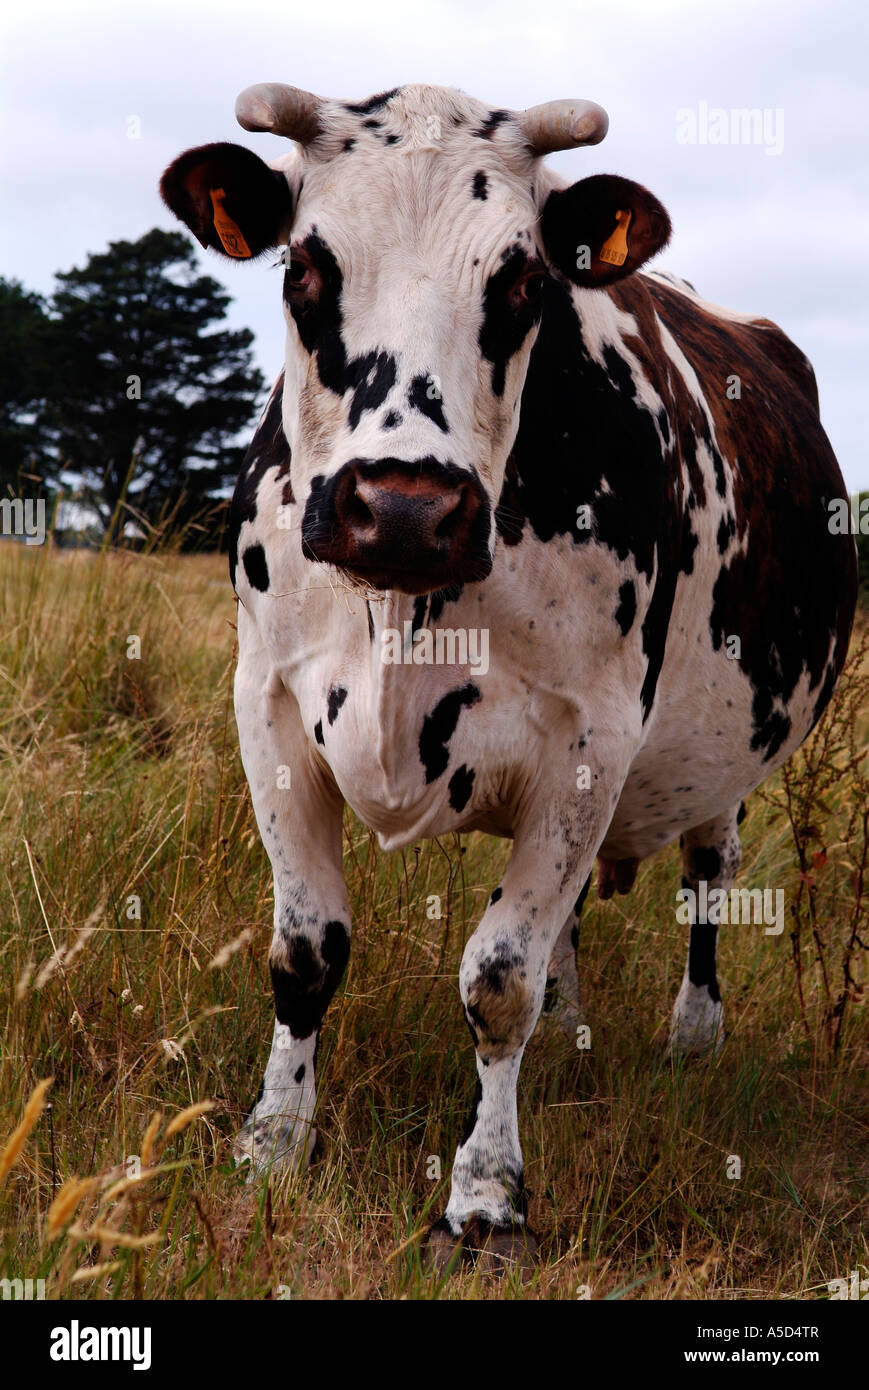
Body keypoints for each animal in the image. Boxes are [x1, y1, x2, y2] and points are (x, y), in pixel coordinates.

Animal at [160, 82, 857, 1269]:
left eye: (522, 281)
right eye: (304, 267)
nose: (402, 507)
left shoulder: (590, 738)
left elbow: (496, 982)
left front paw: (485, 1197)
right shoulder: (269, 702)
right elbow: (305, 952)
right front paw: (271, 1145)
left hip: (717, 764)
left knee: (704, 878)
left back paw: (692, 1038)